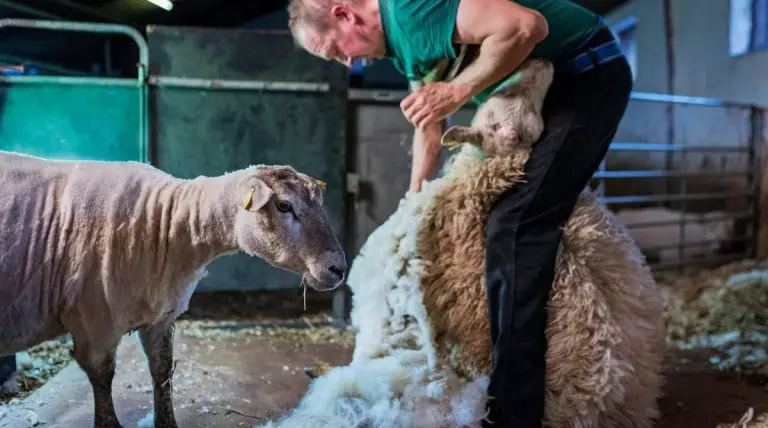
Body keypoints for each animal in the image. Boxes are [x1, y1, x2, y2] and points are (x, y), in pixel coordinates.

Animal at [0, 150, 347, 428]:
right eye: (284, 205)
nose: (339, 268)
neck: (165, 222)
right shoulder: (94, 323)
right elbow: (102, 378)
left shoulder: (161, 317)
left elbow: (162, 372)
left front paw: (167, 422)